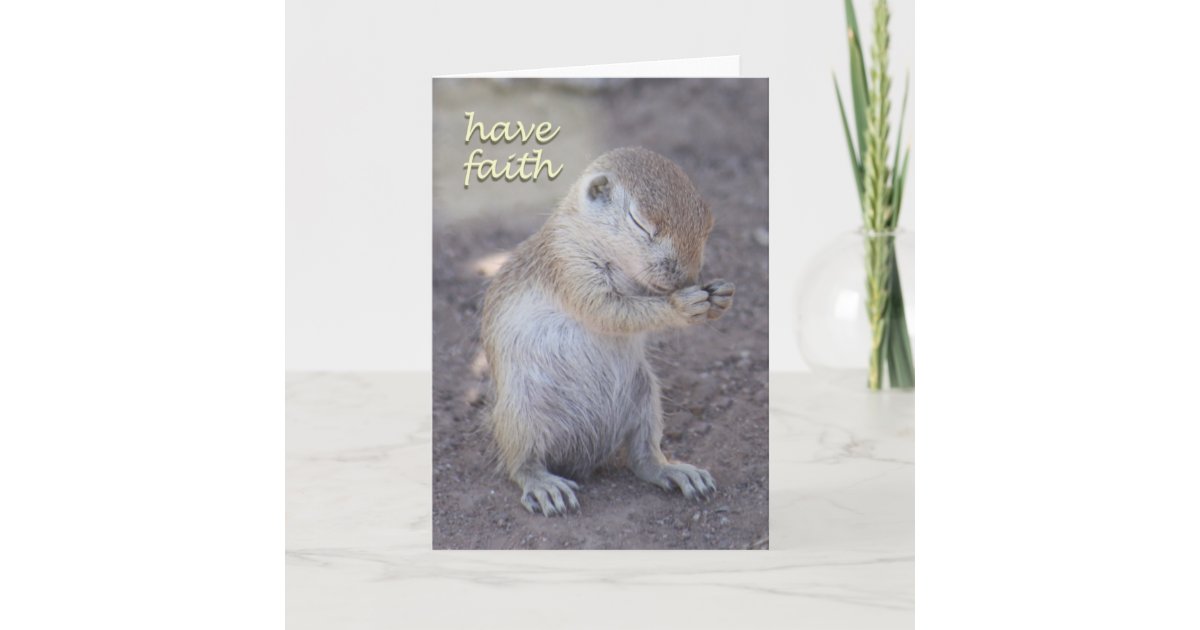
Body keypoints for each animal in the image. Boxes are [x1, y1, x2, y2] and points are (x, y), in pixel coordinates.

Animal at [481, 147, 735, 516]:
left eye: (709, 224)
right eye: (640, 222)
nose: (686, 279)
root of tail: (583, 455)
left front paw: (721, 295)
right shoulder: (570, 266)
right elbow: (609, 310)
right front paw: (680, 306)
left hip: (646, 397)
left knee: (643, 458)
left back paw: (676, 471)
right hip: (519, 415)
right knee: (521, 464)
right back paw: (545, 487)